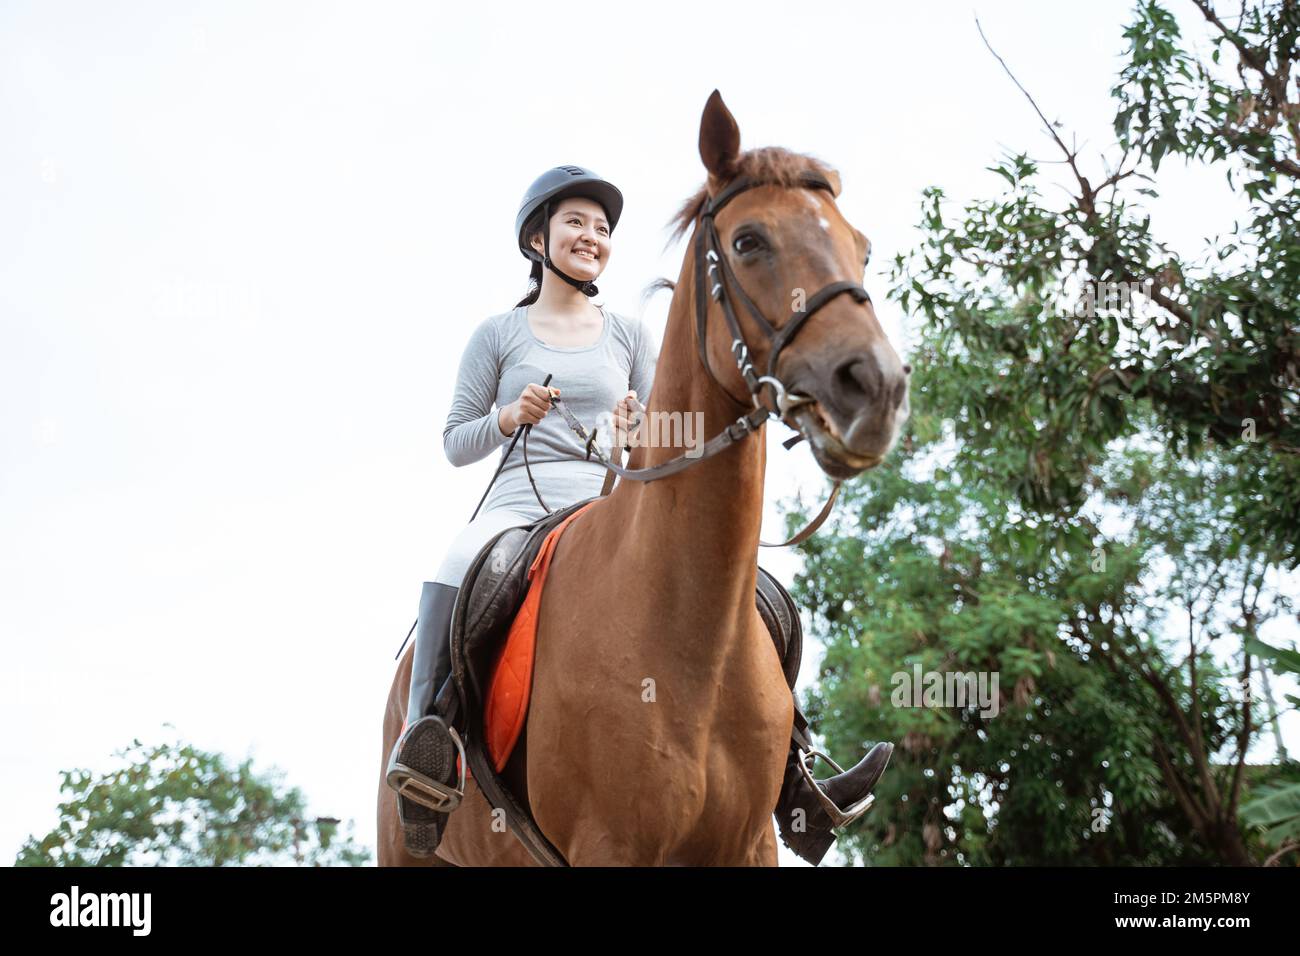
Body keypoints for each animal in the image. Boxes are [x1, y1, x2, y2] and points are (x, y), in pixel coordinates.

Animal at [378, 89, 909, 866]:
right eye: (748, 241)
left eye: (861, 247)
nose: (877, 387)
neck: (691, 639)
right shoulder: (611, 845)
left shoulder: (751, 843)